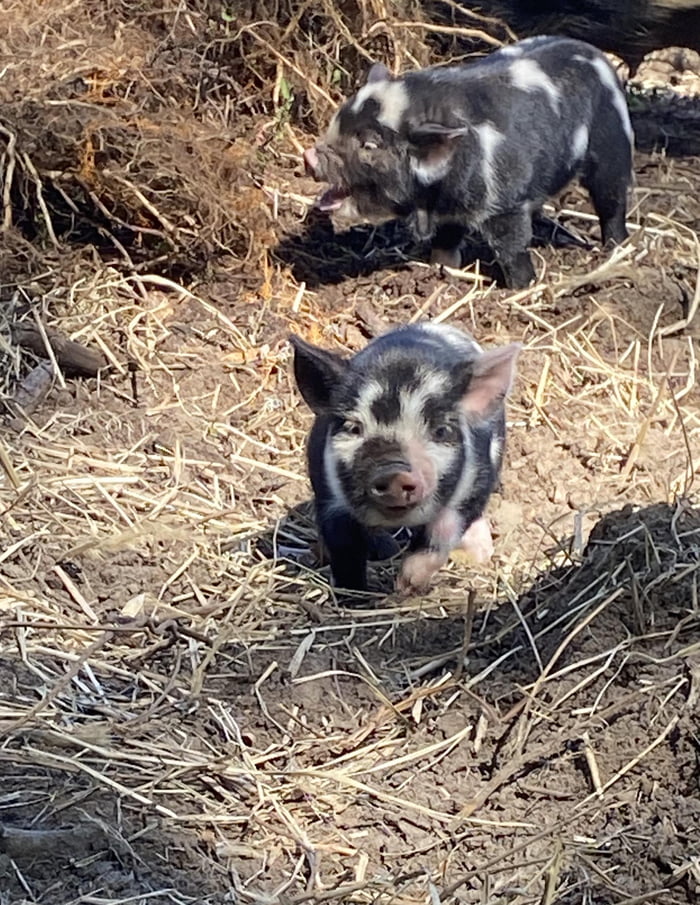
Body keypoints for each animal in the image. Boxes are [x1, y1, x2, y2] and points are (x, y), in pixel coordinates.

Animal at [289, 324, 521, 593]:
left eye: (441, 430)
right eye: (354, 427)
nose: (394, 471)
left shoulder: (474, 482)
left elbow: (442, 533)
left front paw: (405, 586)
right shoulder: (329, 495)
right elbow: (345, 549)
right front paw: (355, 593)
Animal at [303, 35, 633, 289]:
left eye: (370, 144)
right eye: (337, 120)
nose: (309, 156)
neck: (434, 196)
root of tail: (597, 55)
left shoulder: (506, 203)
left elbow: (512, 248)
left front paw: (523, 288)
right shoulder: (452, 211)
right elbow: (446, 242)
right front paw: (441, 270)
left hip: (612, 147)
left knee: (612, 202)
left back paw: (615, 248)